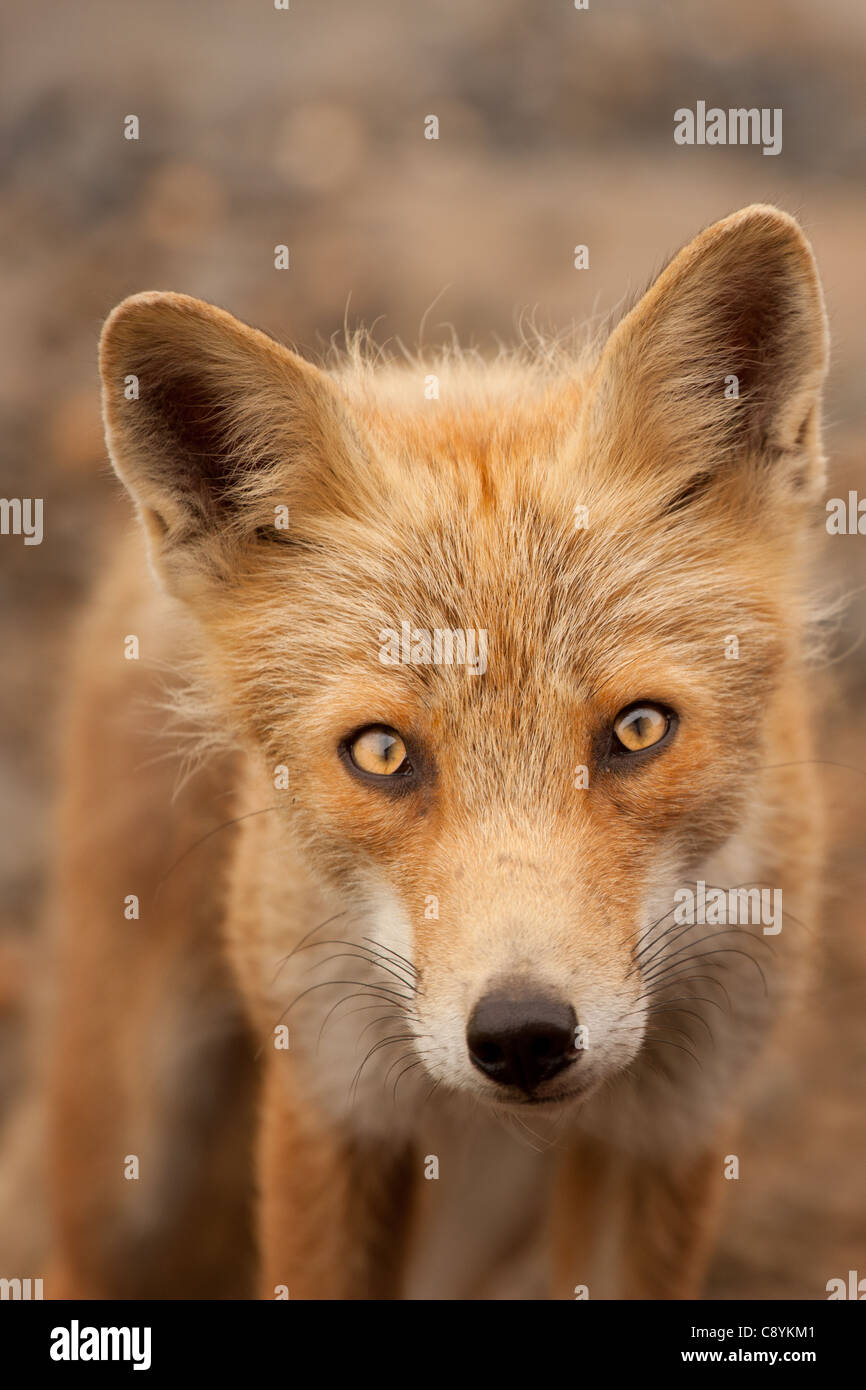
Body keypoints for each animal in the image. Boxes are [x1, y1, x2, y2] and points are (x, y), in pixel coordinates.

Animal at [48, 204, 830, 1300]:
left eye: (638, 730)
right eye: (380, 753)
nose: (522, 1035)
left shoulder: (667, 1125)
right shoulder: (332, 1101)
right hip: (135, 1160)